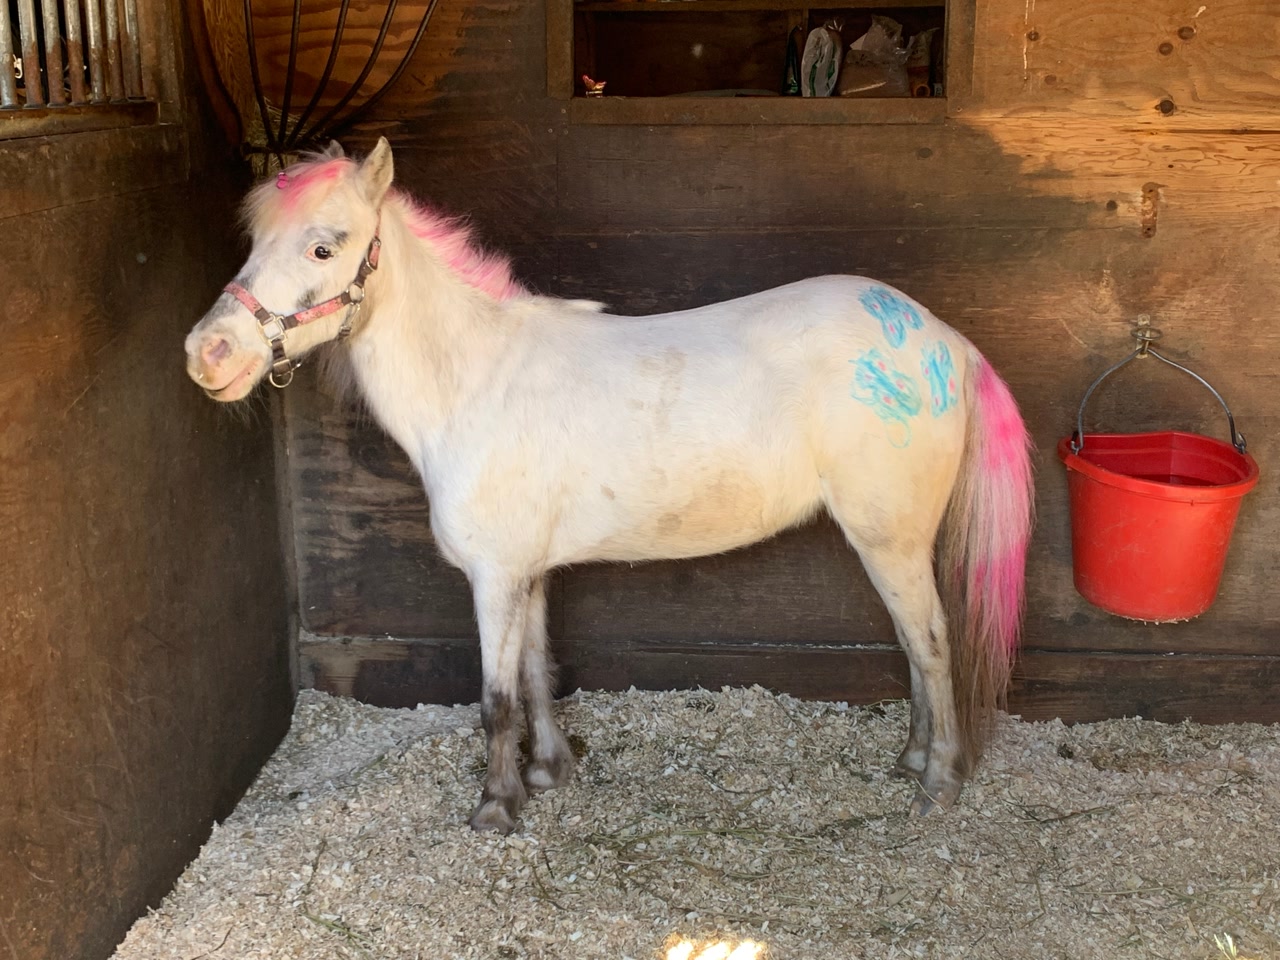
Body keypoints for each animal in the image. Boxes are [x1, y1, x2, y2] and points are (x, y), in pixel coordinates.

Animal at [184, 138, 1034, 835]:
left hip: (890, 539)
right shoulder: (526, 573)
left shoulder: (493, 577)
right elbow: (536, 673)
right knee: (914, 646)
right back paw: (912, 759)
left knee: (930, 644)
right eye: (255, 243)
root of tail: (944, 339)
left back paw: (939, 783)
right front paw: (549, 771)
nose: (208, 353)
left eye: (323, 246)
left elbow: (495, 698)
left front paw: (495, 806)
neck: (476, 383)